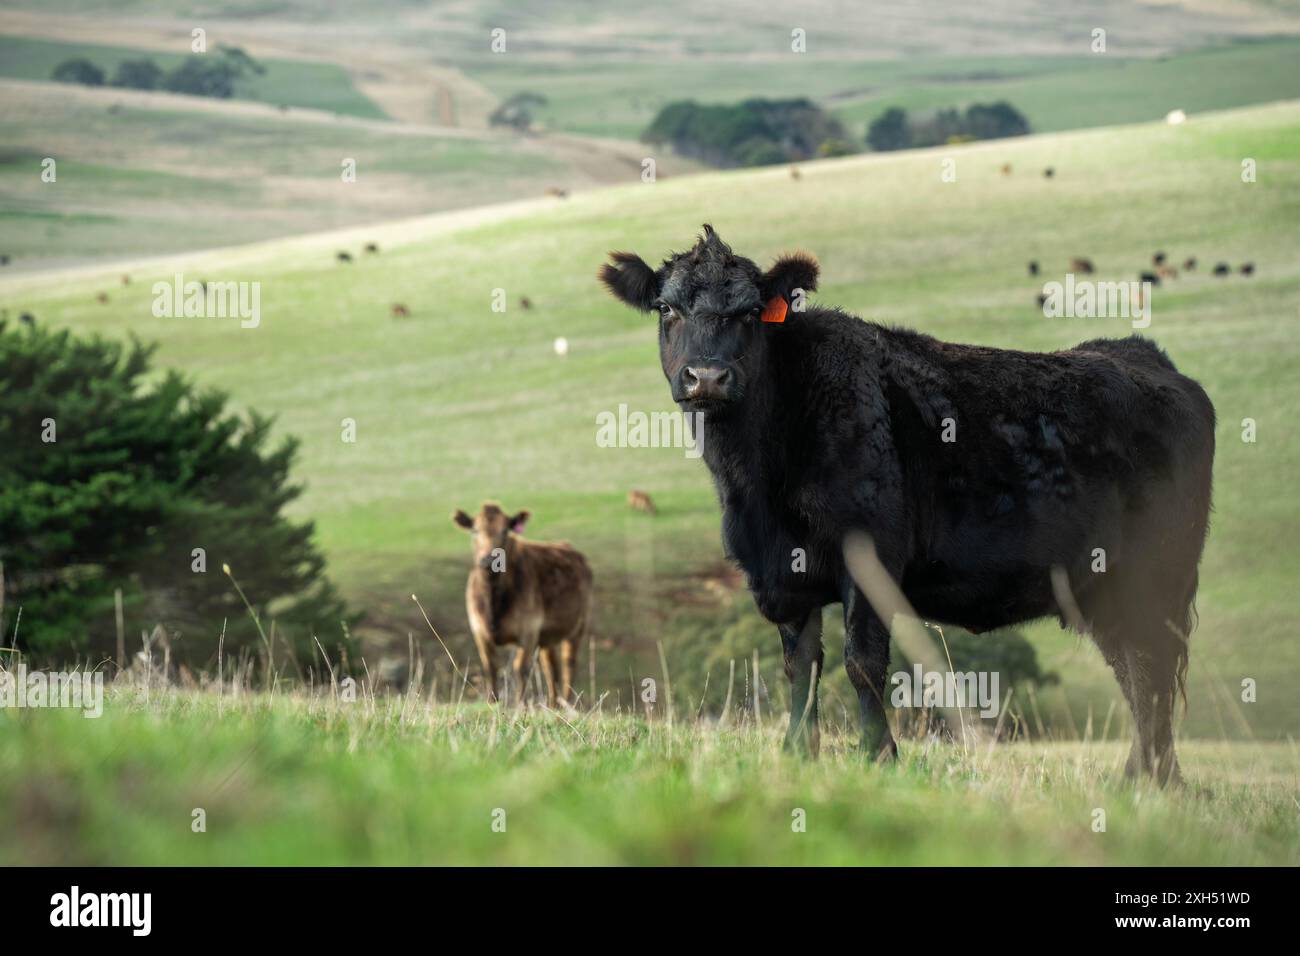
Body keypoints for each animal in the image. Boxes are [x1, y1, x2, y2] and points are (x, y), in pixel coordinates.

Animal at [452, 503, 591, 707]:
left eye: (504, 531)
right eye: (475, 530)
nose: (489, 559)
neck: (493, 602)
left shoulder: (529, 630)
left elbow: (521, 668)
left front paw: (521, 706)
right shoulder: (479, 631)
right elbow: (490, 666)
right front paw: (492, 702)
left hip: (578, 626)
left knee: (569, 664)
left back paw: (567, 704)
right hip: (547, 636)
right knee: (552, 668)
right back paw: (553, 706)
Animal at [599, 225, 1214, 786]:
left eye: (751, 312)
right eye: (666, 307)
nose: (706, 377)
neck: (759, 481)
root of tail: (1141, 355)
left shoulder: (870, 557)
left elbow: (862, 663)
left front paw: (879, 757)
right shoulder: (780, 573)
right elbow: (801, 666)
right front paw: (798, 753)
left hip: (1158, 577)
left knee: (1153, 672)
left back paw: (1157, 782)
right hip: (1106, 587)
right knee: (1135, 673)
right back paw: (1141, 778)